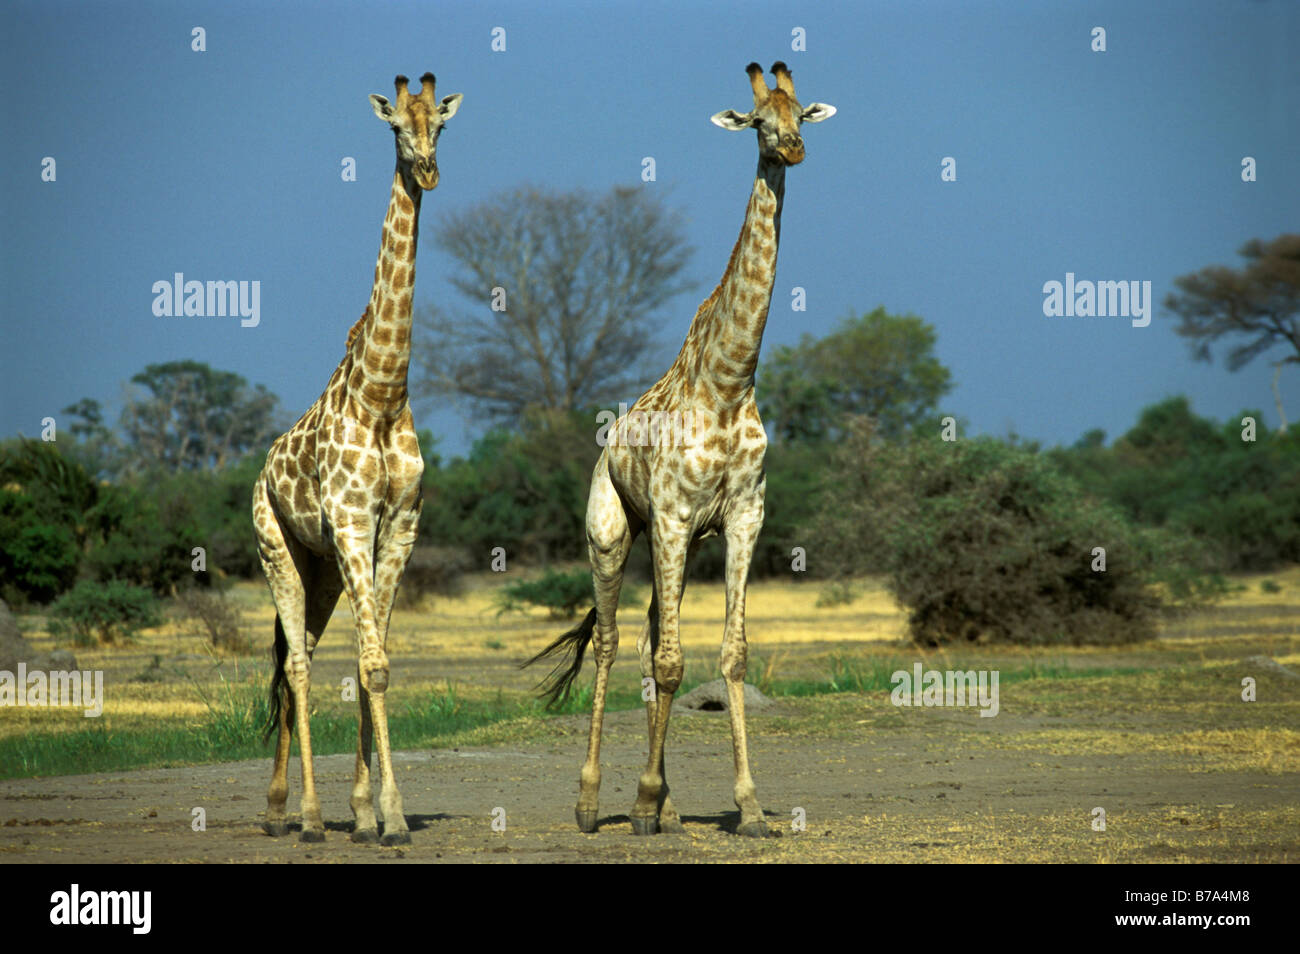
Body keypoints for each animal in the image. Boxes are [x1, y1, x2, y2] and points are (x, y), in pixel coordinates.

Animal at [252, 72, 462, 845]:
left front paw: (376, 811)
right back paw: (305, 817)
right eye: (396, 128)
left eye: (442, 125)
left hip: (319, 569)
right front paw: (386, 817)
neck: (381, 393)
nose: (428, 171)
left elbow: (381, 662)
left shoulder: (396, 527)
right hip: (277, 548)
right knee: (299, 666)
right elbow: (369, 666)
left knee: (300, 659)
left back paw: (281, 808)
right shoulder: (348, 522)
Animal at [527, 62, 834, 837]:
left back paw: (661, 806)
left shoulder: (743, 519)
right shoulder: (668, 516)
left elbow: (731, 656)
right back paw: (592, 802)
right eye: (758, 122)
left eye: (802, 116)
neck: (729, 383)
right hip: (613, 530)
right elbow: (671, 664)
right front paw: (638, 800)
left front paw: (748, 808)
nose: (792, 150)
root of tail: (607, 446)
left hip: (682, 544)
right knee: (613, 644)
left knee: (644, 641)